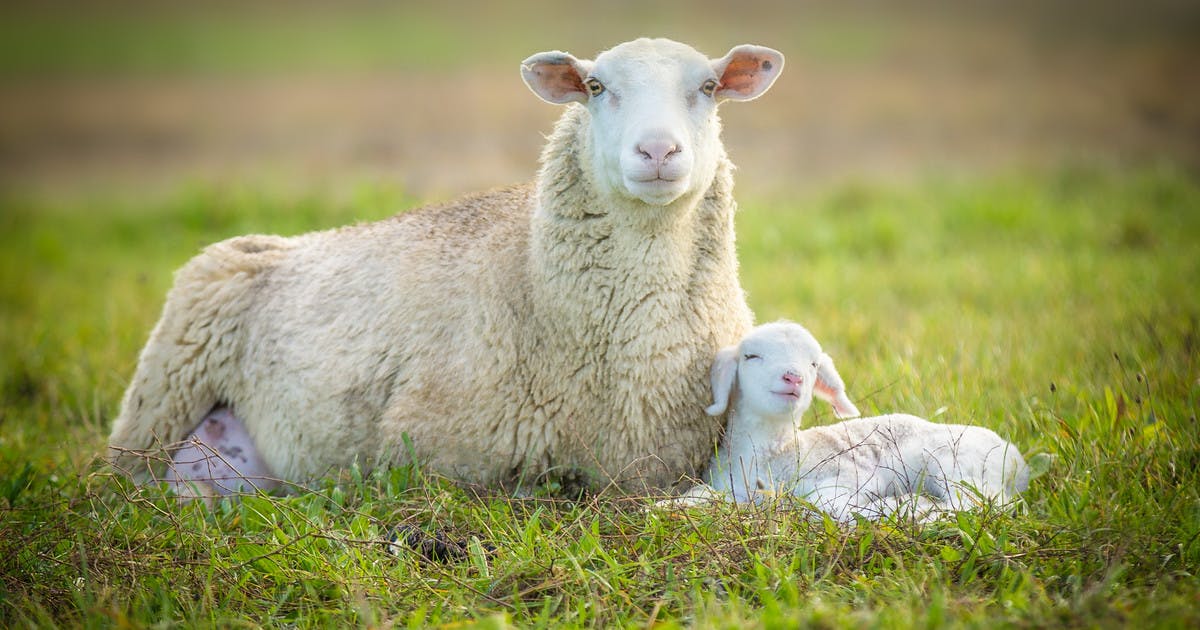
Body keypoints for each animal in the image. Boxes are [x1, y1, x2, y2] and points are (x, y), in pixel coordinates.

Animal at [687, 321, 1029, 521]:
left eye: (813, 364)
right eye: (751, 357)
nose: (794, 377)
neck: (776, 452)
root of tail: (1018, 462)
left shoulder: (844, 476)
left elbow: (827, 504)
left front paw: (880, 506)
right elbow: (699, 497)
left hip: (956, 463)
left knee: (981, 504)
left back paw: (915, 508)